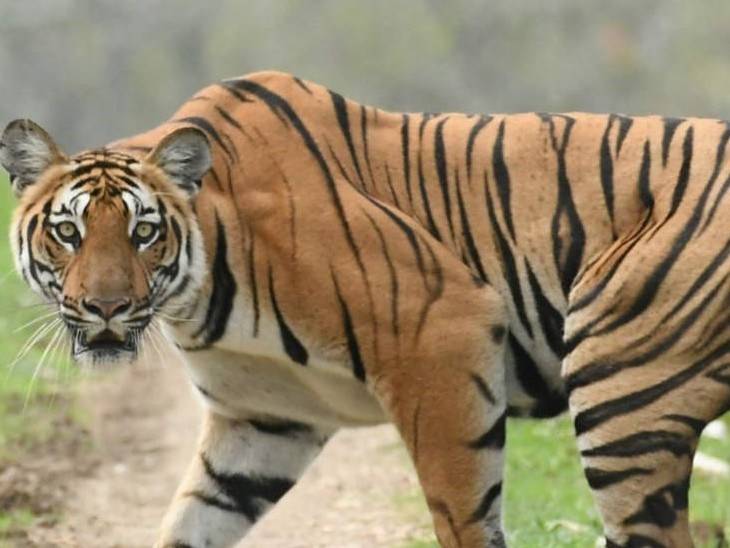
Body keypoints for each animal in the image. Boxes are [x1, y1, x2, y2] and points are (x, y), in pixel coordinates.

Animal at [2, 70, 729, 547]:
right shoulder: (262, 420)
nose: (105, 306)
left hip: (619, 391)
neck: (195, 293)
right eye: (67, 232)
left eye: (144, 232)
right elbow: (191, 520)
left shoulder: (442, 333)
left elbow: (461, 514)